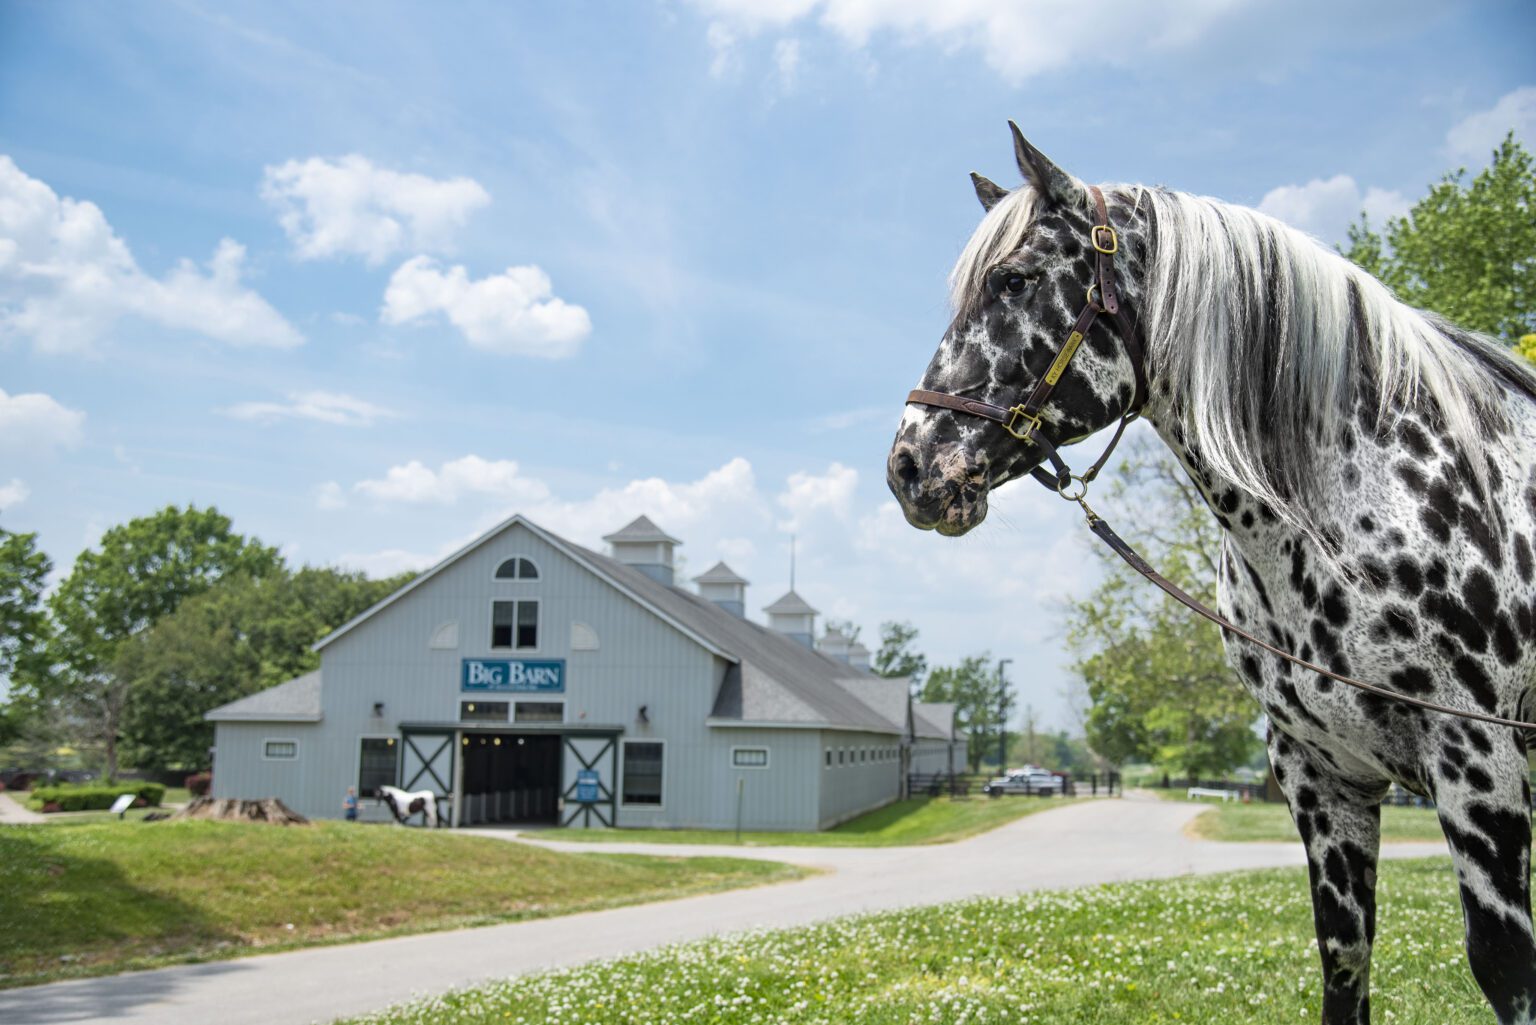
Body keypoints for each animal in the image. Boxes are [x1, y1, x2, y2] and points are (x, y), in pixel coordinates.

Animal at [886, 123, 1536, 1024]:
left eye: (1013, 279)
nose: (910, 466)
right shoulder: (1319, 777)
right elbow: (1345, 961)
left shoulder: (1479, 763)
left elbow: (1506, 963)